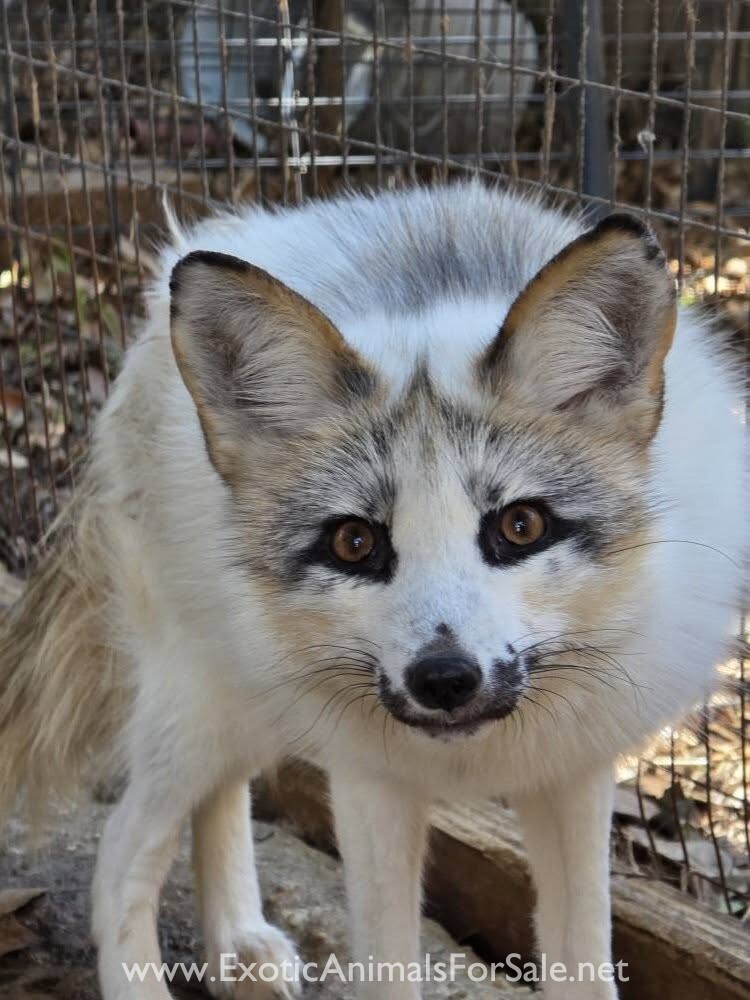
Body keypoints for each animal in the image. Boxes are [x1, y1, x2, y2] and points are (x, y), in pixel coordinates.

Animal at [0, 182, 745, 1000]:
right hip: (199, 702)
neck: (473, 760)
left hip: (244, 702)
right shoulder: (368, 783)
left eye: (520, 527)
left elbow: (585, 965)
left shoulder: (573, 773)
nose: (444, 680)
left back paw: (235, 946)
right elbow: (386, 965)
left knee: (219, 797)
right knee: (117, 854)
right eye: (355, 542)